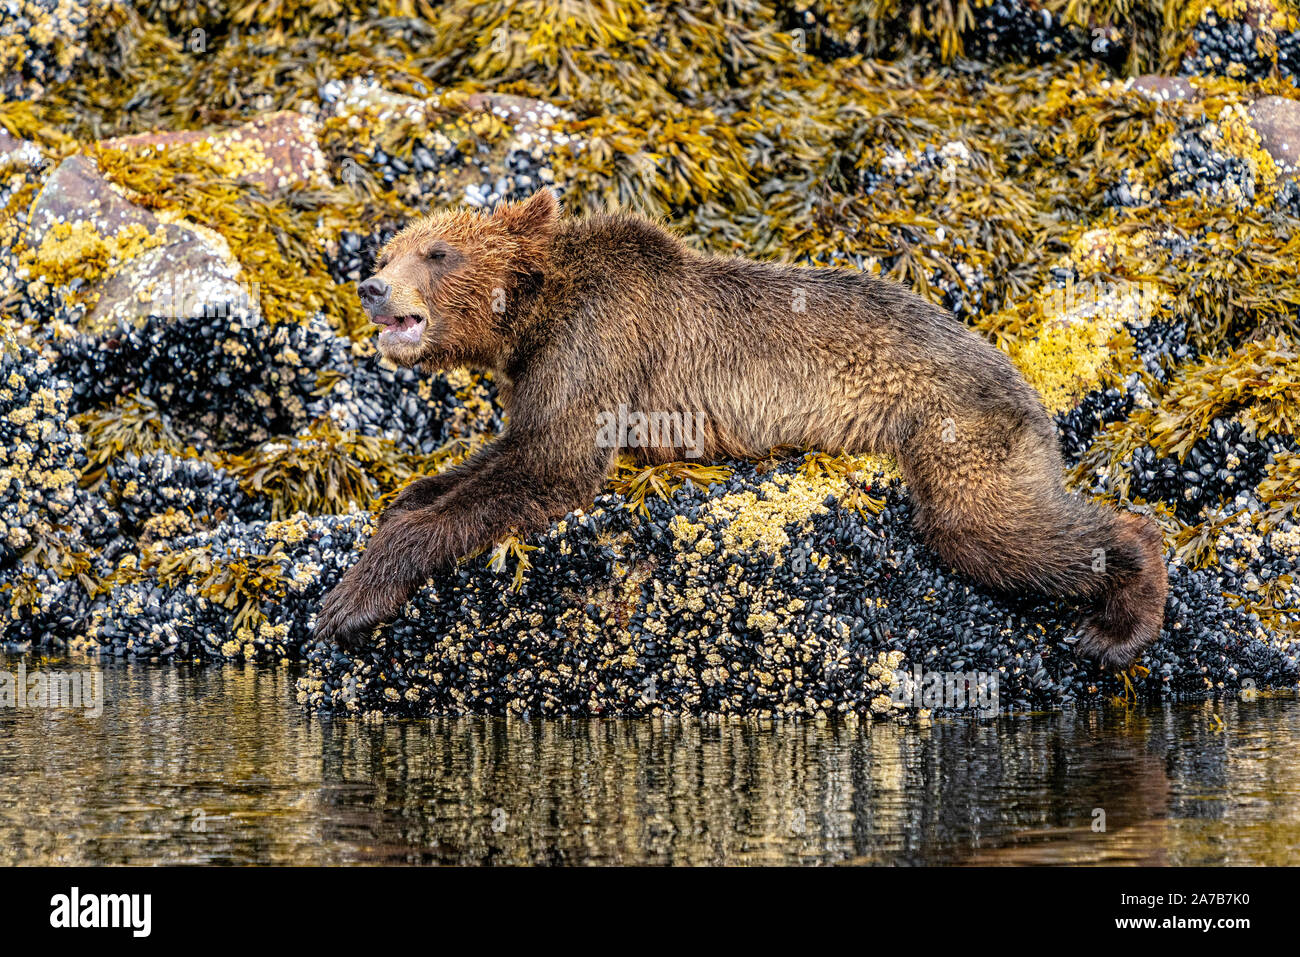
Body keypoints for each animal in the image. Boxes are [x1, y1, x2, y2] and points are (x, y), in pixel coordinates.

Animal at [312, 187, 1168, 669]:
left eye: (437, 251)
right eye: (388, 247)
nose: (371, 285)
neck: (532, 319)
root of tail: (1027, 383)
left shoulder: (600, 346)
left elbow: (552, 466)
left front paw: (348, 599)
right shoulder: (544, 374)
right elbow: (499, 456)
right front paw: (407, 496)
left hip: (951, 422)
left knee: (992, 525)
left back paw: (1120, 618)